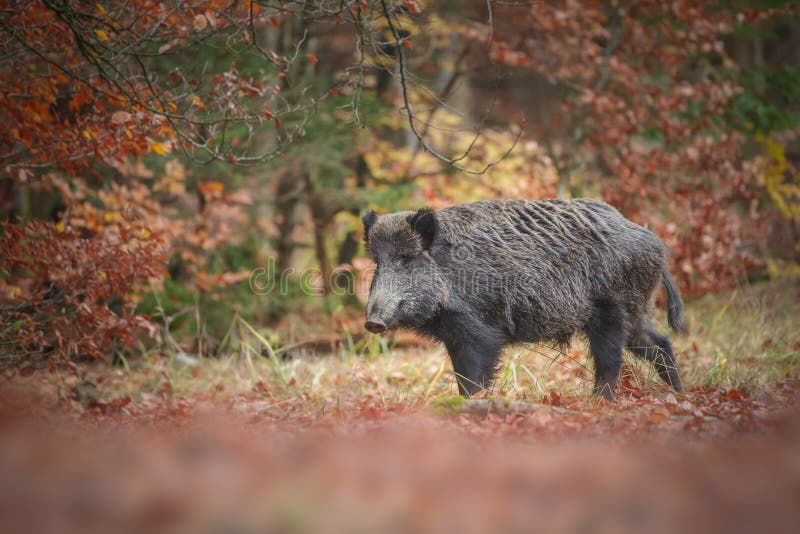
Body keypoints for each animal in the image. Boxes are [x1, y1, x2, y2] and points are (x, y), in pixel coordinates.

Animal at [361, 199, 686, 399]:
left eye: (407, 258)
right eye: (377, 262)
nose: (372, 322)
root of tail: (657, 244)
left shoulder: (481, 333)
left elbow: (473, 379)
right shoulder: (454, 335)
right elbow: (461, 378)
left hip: (612, 311)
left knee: (611, 359)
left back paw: (599, 403)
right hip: (633, 313)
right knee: (660, 344)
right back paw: (679, 392)